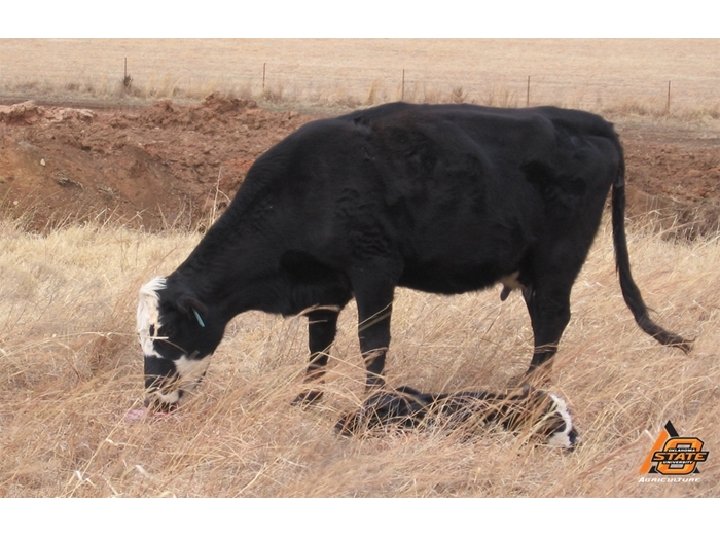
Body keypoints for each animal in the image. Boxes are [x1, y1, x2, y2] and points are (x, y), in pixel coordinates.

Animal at [137, 102, 691, 410]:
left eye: (166, 333)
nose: (152, 402)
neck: (309, 185)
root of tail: (587, 121)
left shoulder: (375, 270)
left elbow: (372, 344)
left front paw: (370, 407)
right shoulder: (325, 286)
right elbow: (318, 346)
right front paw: (306, 401)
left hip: (555, 265)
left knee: (551, 326)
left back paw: (529, 394)